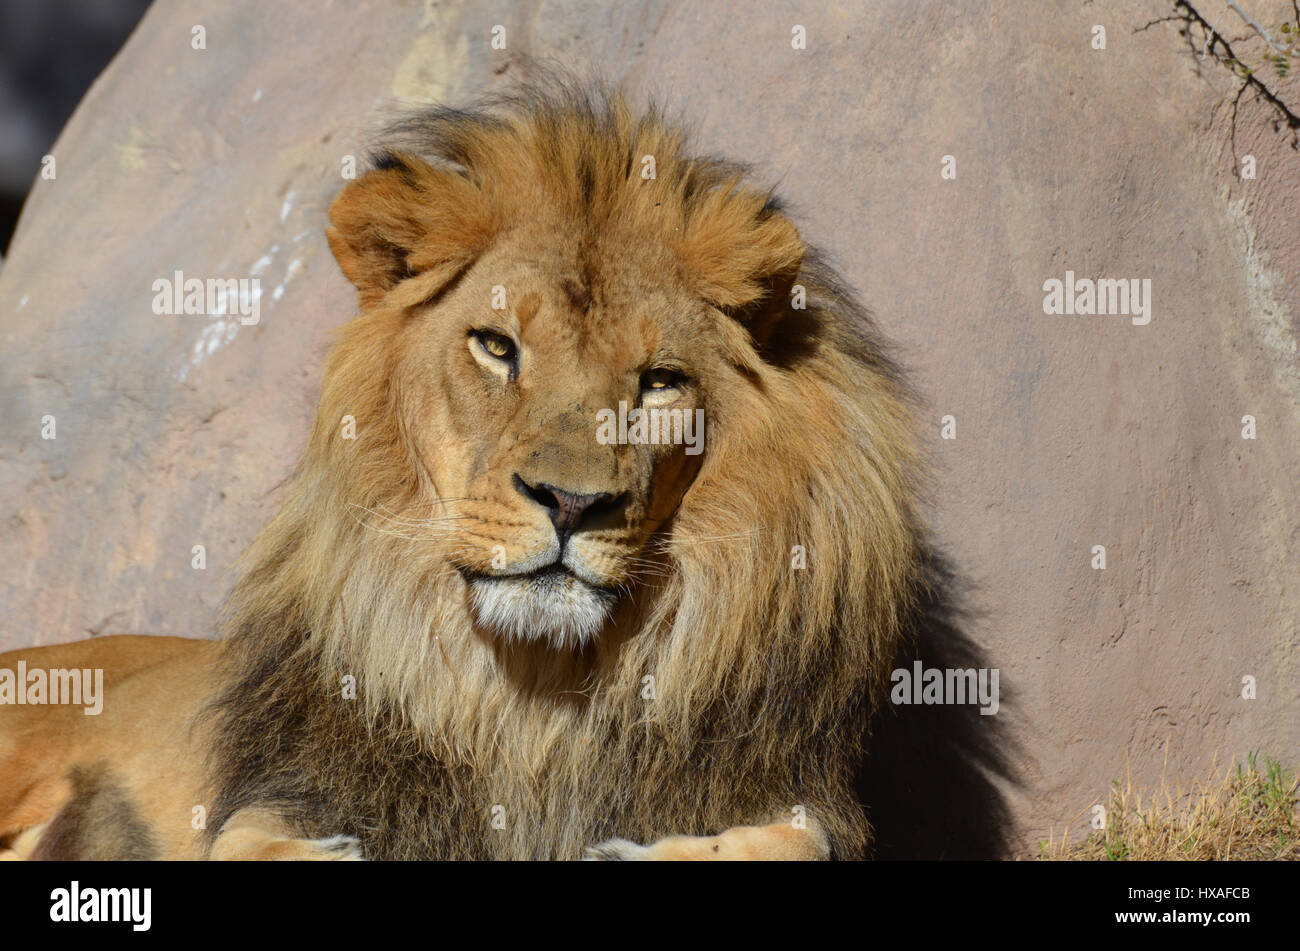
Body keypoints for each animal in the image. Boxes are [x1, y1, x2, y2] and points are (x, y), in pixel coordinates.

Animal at [0, 82, 923, 860]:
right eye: (496, 346)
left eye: (660, 381)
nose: (571, 502)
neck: (531, 706)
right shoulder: (287, 794)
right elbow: (253, 842)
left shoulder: (791, 793)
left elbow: (789, 839)